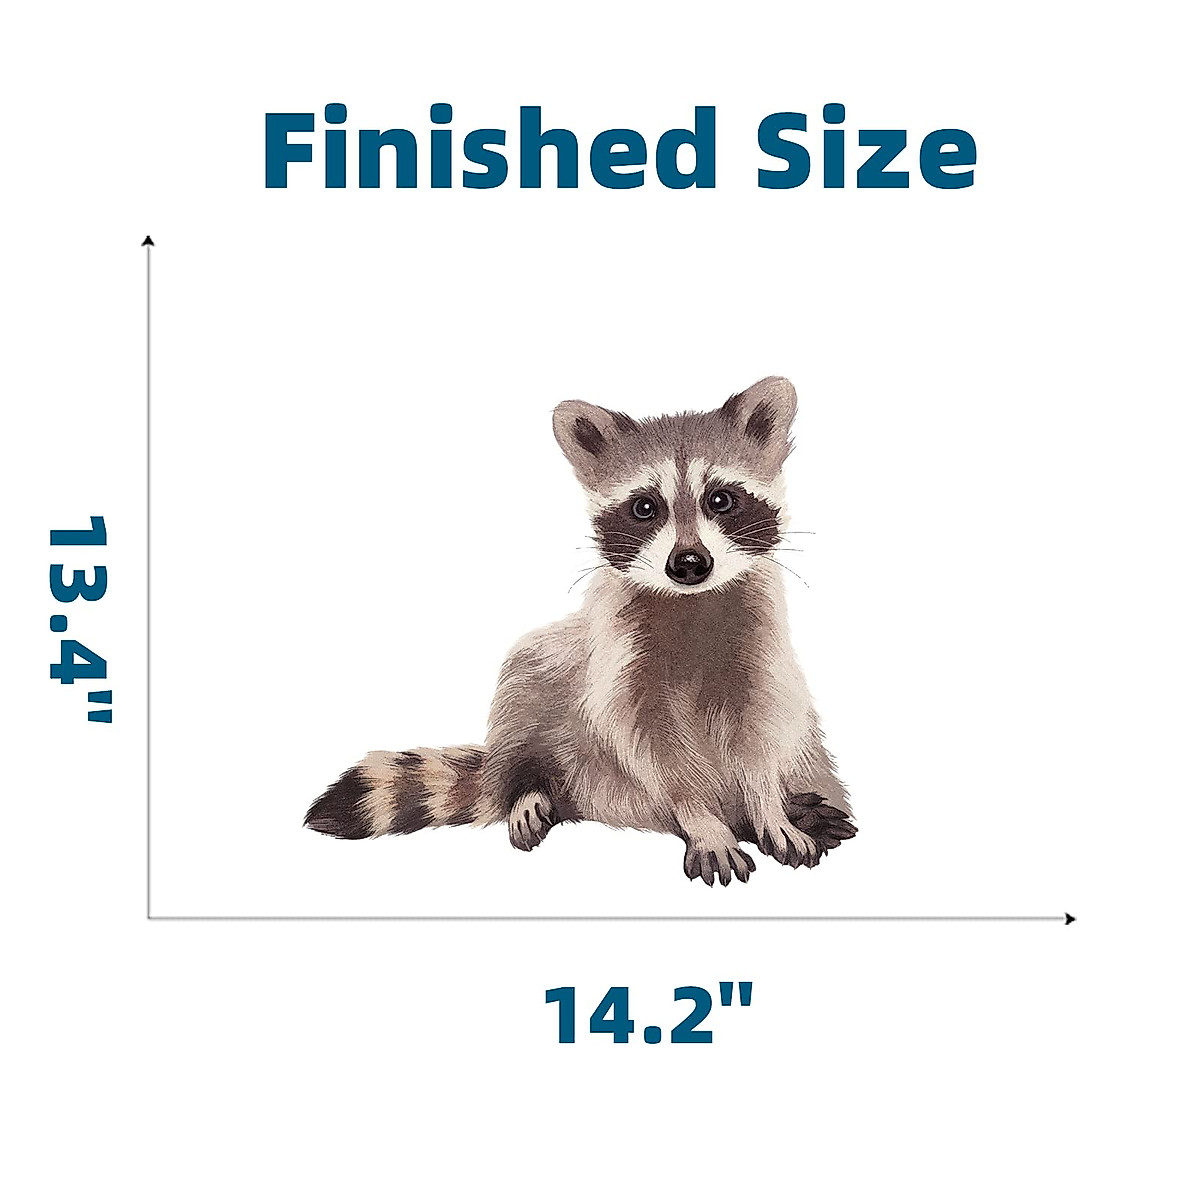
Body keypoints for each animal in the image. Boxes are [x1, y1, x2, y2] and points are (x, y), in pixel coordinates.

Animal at [305, 376, 854, 885]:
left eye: (721, 499)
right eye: (644, 507)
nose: (689, 564)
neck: (691, 603)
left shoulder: (760, 651)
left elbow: (760, 734)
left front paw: (767, 806)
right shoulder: (618, 662)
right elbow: (655, 751)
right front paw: (702, 819)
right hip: (545, 682)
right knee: (523, 685)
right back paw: (528, 790)